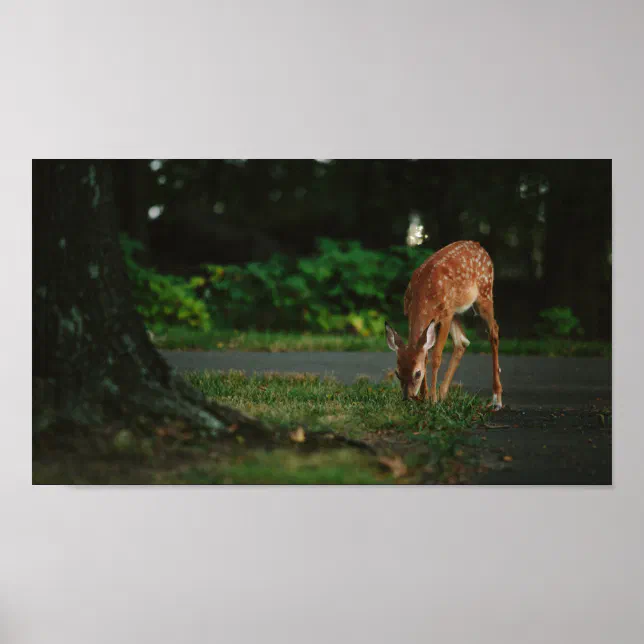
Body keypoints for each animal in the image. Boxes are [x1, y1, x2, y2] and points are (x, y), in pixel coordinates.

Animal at [385, 240, 503, 411]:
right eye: (397, 373)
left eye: (417, 373)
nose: (408, 397)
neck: (423, 296)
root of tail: (479, 246)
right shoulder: (413, 314)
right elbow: (425, 355)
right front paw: (425, 396)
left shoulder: (445, 316)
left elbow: (436, 357)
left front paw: (432, 399)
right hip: (456, 310)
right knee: (462, 342)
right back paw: (443, 394)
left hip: (484, 293)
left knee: (494, 331)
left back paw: (496, 399)